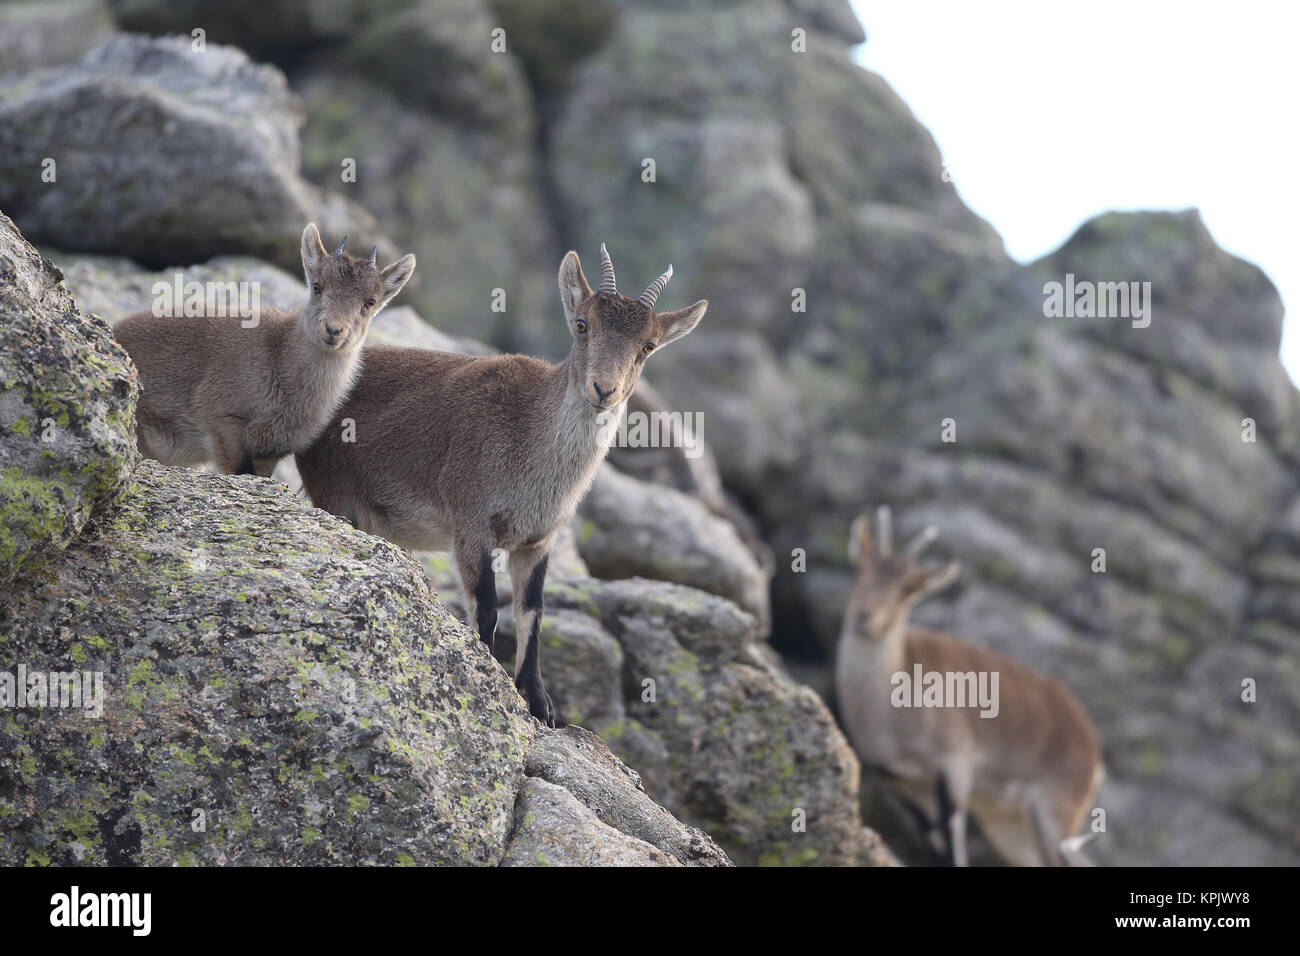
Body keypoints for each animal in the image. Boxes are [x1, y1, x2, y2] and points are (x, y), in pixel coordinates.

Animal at [113, 224, 415, 475]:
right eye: (317, 286)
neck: (279, 357)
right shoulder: (223, 419)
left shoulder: (273, 451)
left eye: (370, 301)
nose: (333, 330)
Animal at [294, 245, 708, 726]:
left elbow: (532, 612)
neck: (530, 446)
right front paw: (490, 680)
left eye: (648, 346)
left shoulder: (538, 541)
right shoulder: (472, 523)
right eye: (582, 325)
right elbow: (488, 607)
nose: (603, 389)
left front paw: (540, 703)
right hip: (334, 496)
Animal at [835, 506, 1103, 866]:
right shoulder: (909, 791)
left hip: (1055, 810)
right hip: (1009, 825)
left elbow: (956, 852)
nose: (864, 616)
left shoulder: (954, 770)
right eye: (859, 569)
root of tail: (1090, 744)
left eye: (908, 588)